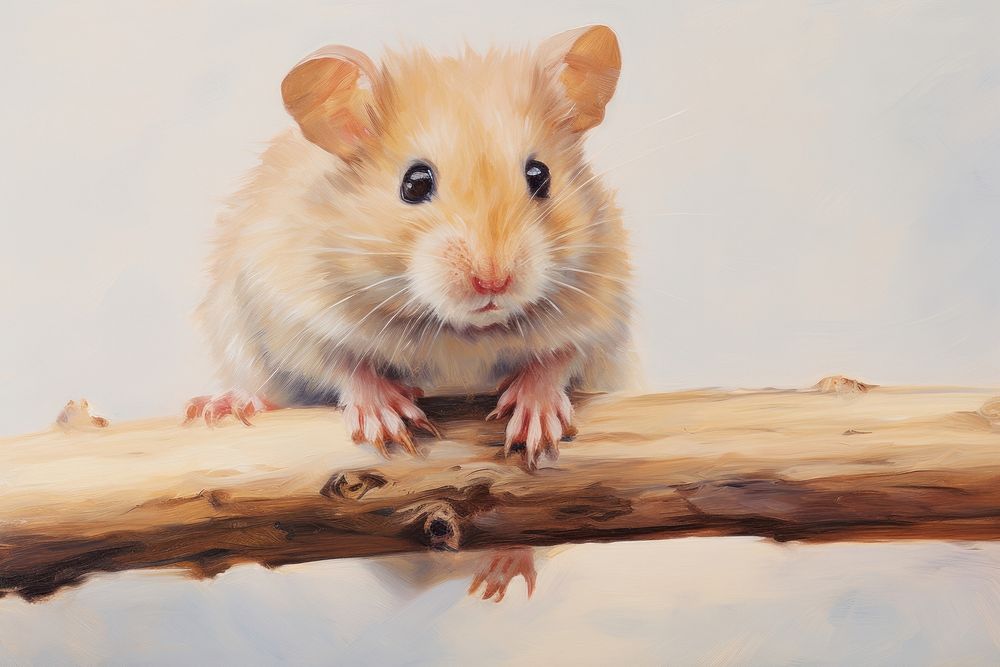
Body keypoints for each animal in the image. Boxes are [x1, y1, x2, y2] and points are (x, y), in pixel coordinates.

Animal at [186, 25, 633, 467]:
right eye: (414, 184)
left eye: (540, 176)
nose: (493, 283)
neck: (458, 329)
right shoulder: (288, 309)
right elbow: (343, 364)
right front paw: (386, 423)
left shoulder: (602, 313)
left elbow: (560, 358)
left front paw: (536, 422)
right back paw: (224, 405)